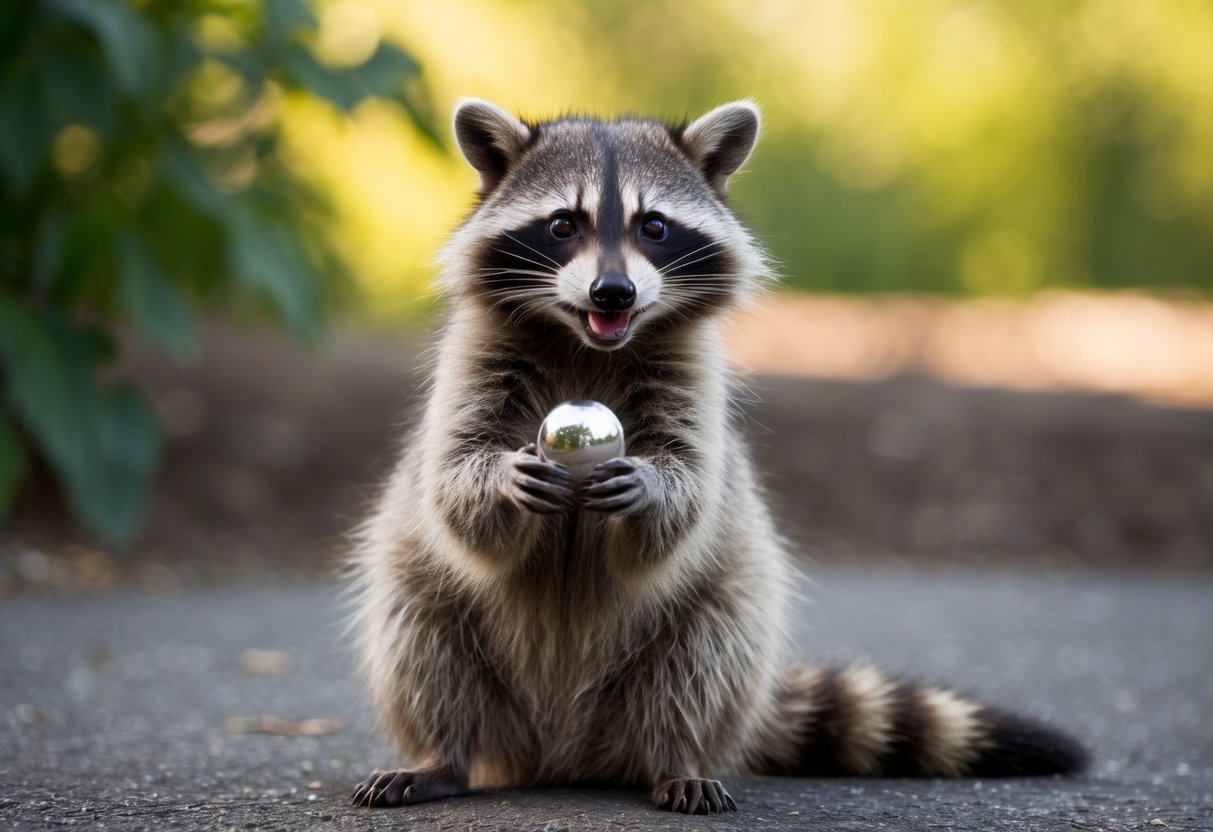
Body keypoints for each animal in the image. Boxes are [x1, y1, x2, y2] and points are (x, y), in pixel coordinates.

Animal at [348, 99, 1086, 814]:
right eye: (562, 225)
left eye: (653, 226)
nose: (612, 292)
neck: (588, 342)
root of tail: (562, 754)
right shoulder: (473, 363)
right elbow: (452, 482)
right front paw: (501, 482)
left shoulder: (694, 376)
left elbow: (688, 493)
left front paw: (651, 488)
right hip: (424, 598)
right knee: (421, 645)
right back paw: (443, 755)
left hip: (725, 601)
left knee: (703, 661)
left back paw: (676, 757)